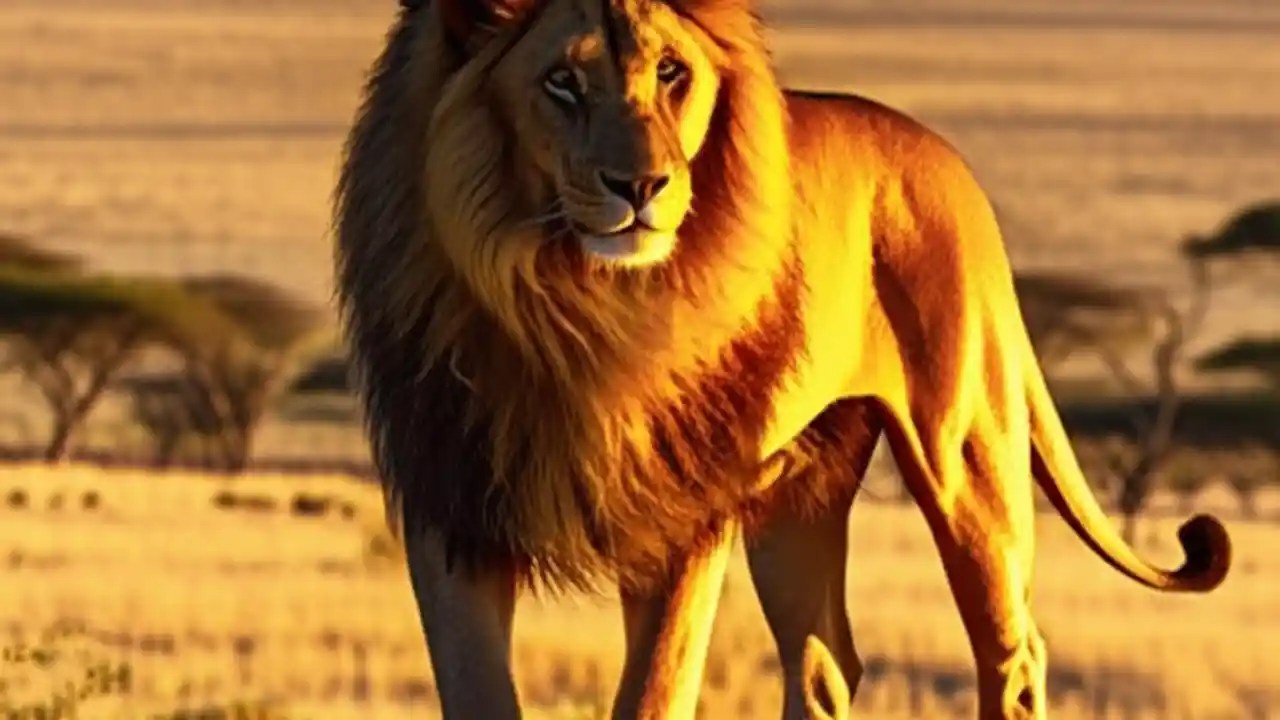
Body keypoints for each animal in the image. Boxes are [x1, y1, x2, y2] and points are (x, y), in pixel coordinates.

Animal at [333, 0, 1233, 717]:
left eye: (671, 73)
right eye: (562, 81)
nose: (642, 187)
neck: (568, 305)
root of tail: (946, 159)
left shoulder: (683, 510)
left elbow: (655, 690)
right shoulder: (450, 500)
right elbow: (478, 690)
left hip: (967, 453)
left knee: (1012, 655)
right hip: (798, 492)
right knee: (826, 661)